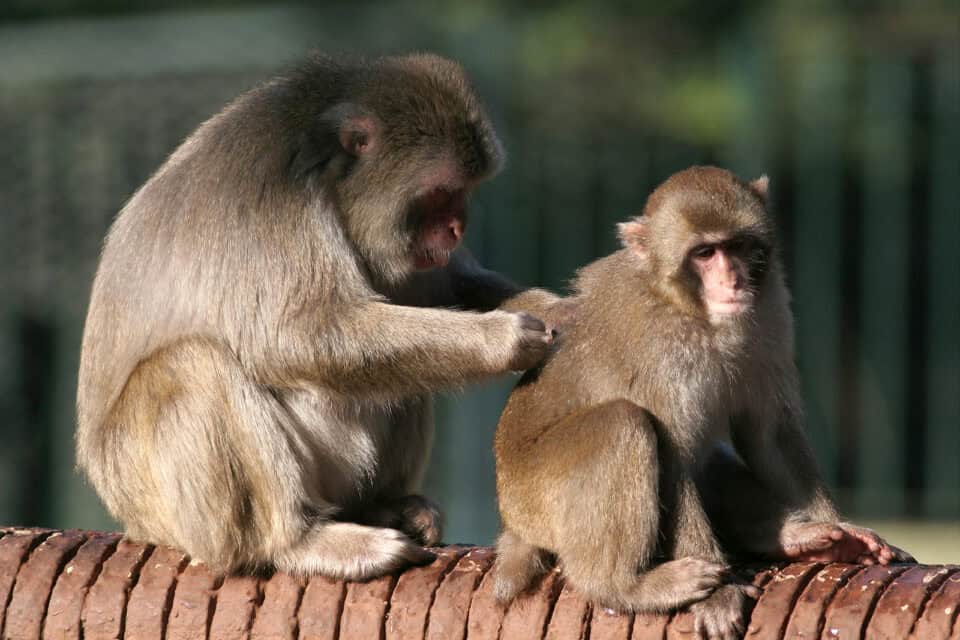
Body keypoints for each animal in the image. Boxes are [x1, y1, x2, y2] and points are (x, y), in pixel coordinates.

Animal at [75, 53, 557, 580]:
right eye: (441, 193)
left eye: (465, 192)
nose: (456, 228)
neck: (327, 176)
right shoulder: (277, 205)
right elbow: (294, 337)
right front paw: (501, 339)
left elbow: (440, 285)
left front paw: (564, 309)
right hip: (150, 498)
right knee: (191, 365)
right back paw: (299, 541)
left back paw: (380, 506)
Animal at [492, 166, 913, 639]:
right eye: (705, 253)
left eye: (739, 247)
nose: (733, 281)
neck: (693, 312)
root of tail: (511, 515)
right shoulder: (661, 352)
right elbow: (674, 458)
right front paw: (719, 593)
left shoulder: (771, 312)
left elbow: (768, 432)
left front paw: (841, 533)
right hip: (536, 498)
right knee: (622, 423)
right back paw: (623, 585)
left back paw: (787, 537)